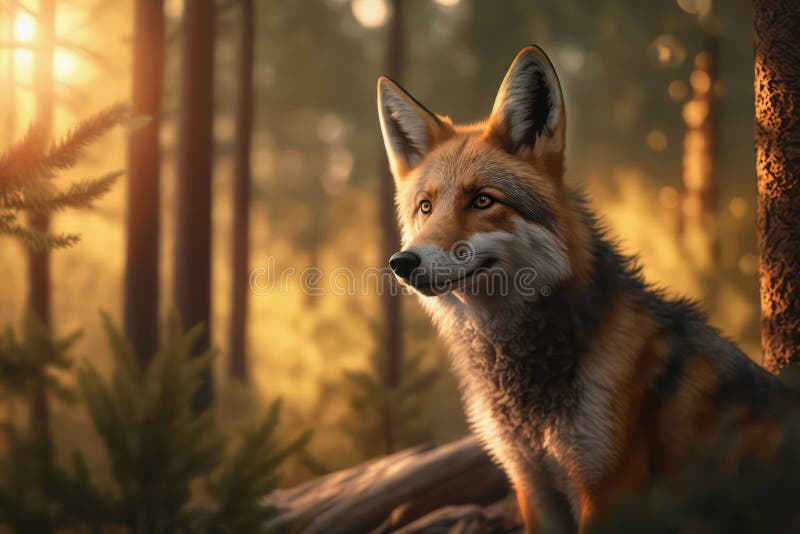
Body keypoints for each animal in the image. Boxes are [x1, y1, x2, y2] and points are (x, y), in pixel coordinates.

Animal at [376, 45, 787, 533]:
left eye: (482, 200)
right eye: (425, 207)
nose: (402, 263)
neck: (528, 410)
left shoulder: (608, 487)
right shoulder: (532, 486)